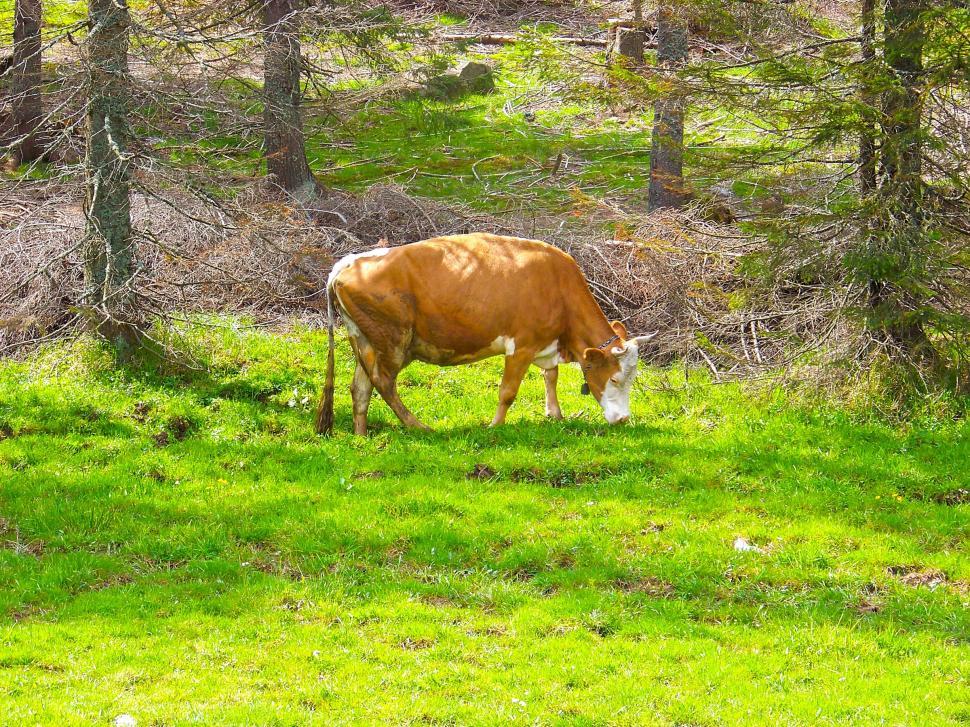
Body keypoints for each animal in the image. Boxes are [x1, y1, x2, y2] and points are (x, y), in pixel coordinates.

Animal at [315, 233, 655, 435]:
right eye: (615, 379)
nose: (623, 419)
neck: (558, 286)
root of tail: (349, 262)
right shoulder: (521, 346)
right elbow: (508, 391)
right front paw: (495, 427)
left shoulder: (545, 344)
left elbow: (551, 376)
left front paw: (555, 414)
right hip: (394, 342)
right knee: (384, 383)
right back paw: (419, 426)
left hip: (365, 340)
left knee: (360, 386)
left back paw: (361, 435)